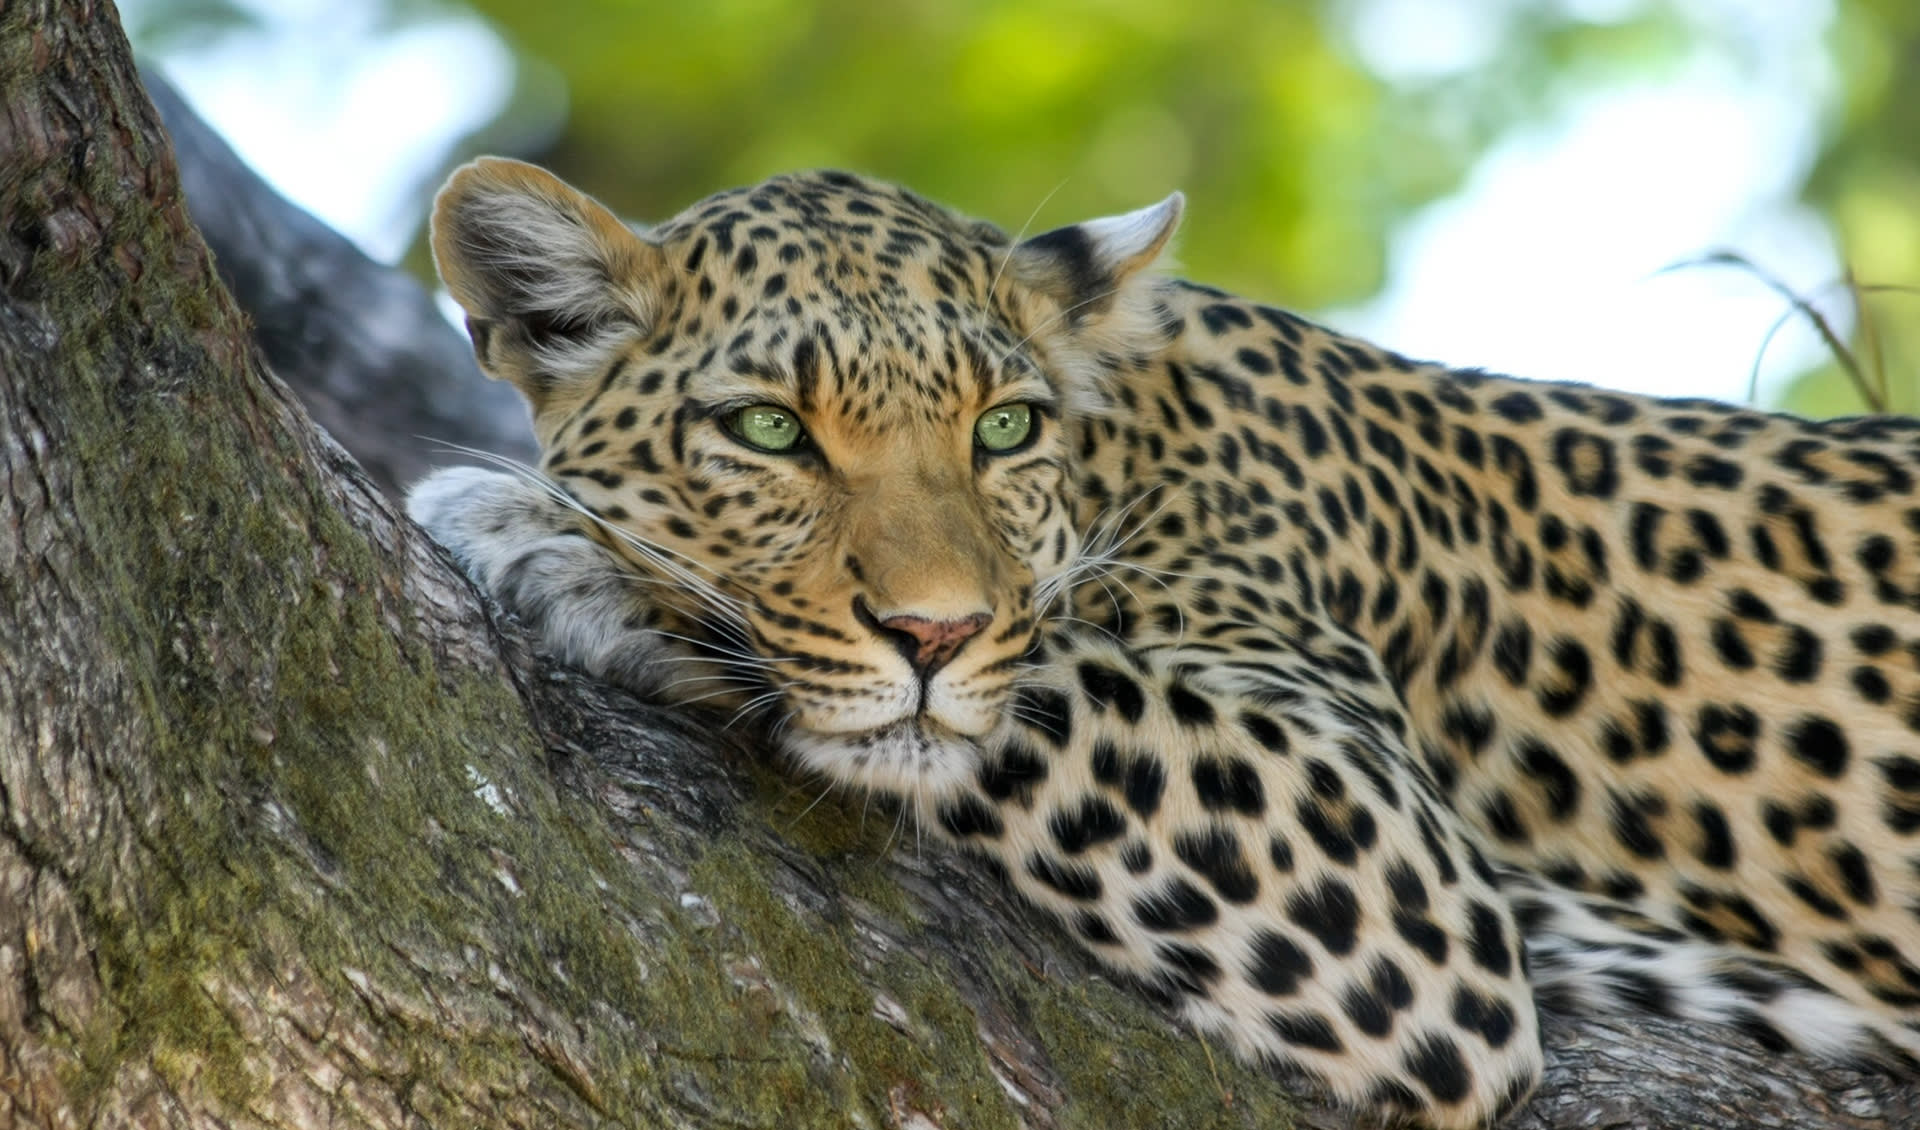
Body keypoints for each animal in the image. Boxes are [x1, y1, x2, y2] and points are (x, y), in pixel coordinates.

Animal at [407, 156, 1920, 1127]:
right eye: (770, 429)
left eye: (1004, 427)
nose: (934, 628)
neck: (1132, 446)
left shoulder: (1394, 866)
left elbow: (1042, 684)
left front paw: (561, 542)